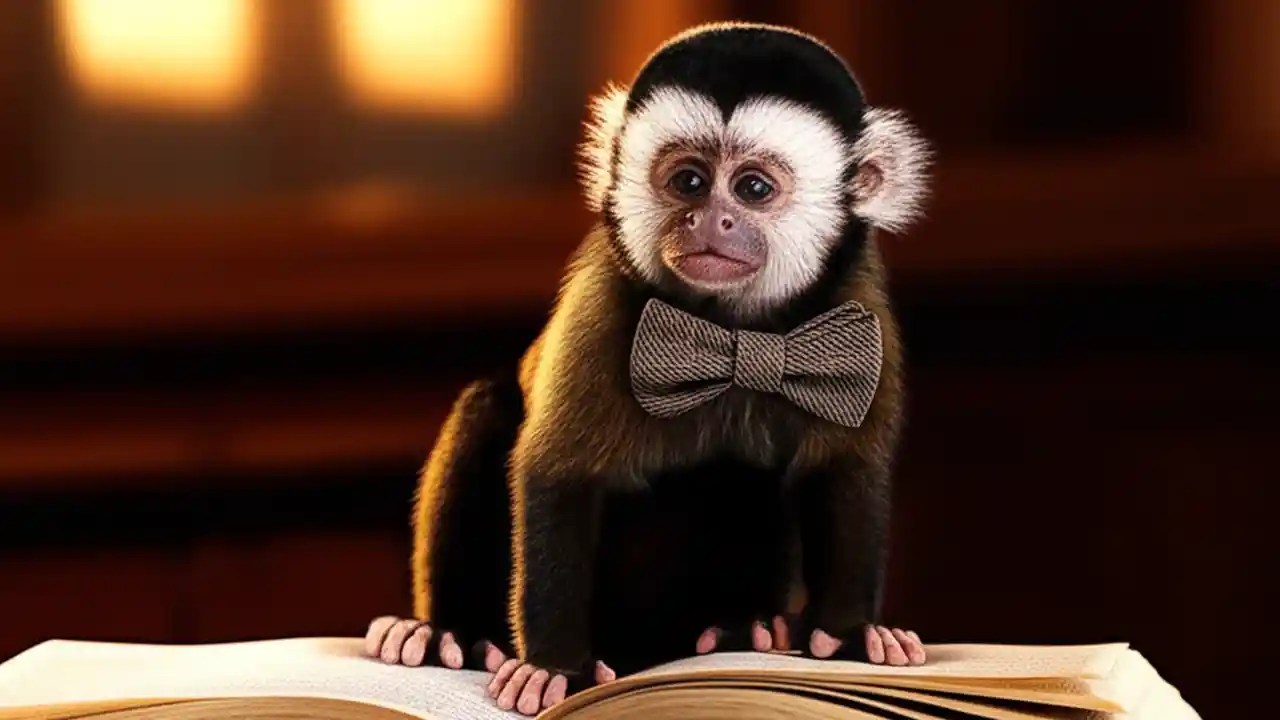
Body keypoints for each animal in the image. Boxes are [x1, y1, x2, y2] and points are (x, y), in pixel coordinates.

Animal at [365, 22, 933, 716]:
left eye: (752, 188)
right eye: (687, 181)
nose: (706, 220)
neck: (735, 333)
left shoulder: (861, 304)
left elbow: (846, 470)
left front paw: (850, 637)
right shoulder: (606, 300)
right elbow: (558, 475)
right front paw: (557, 670)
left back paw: (735, 629)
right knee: (488, 405)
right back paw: (447, 634)